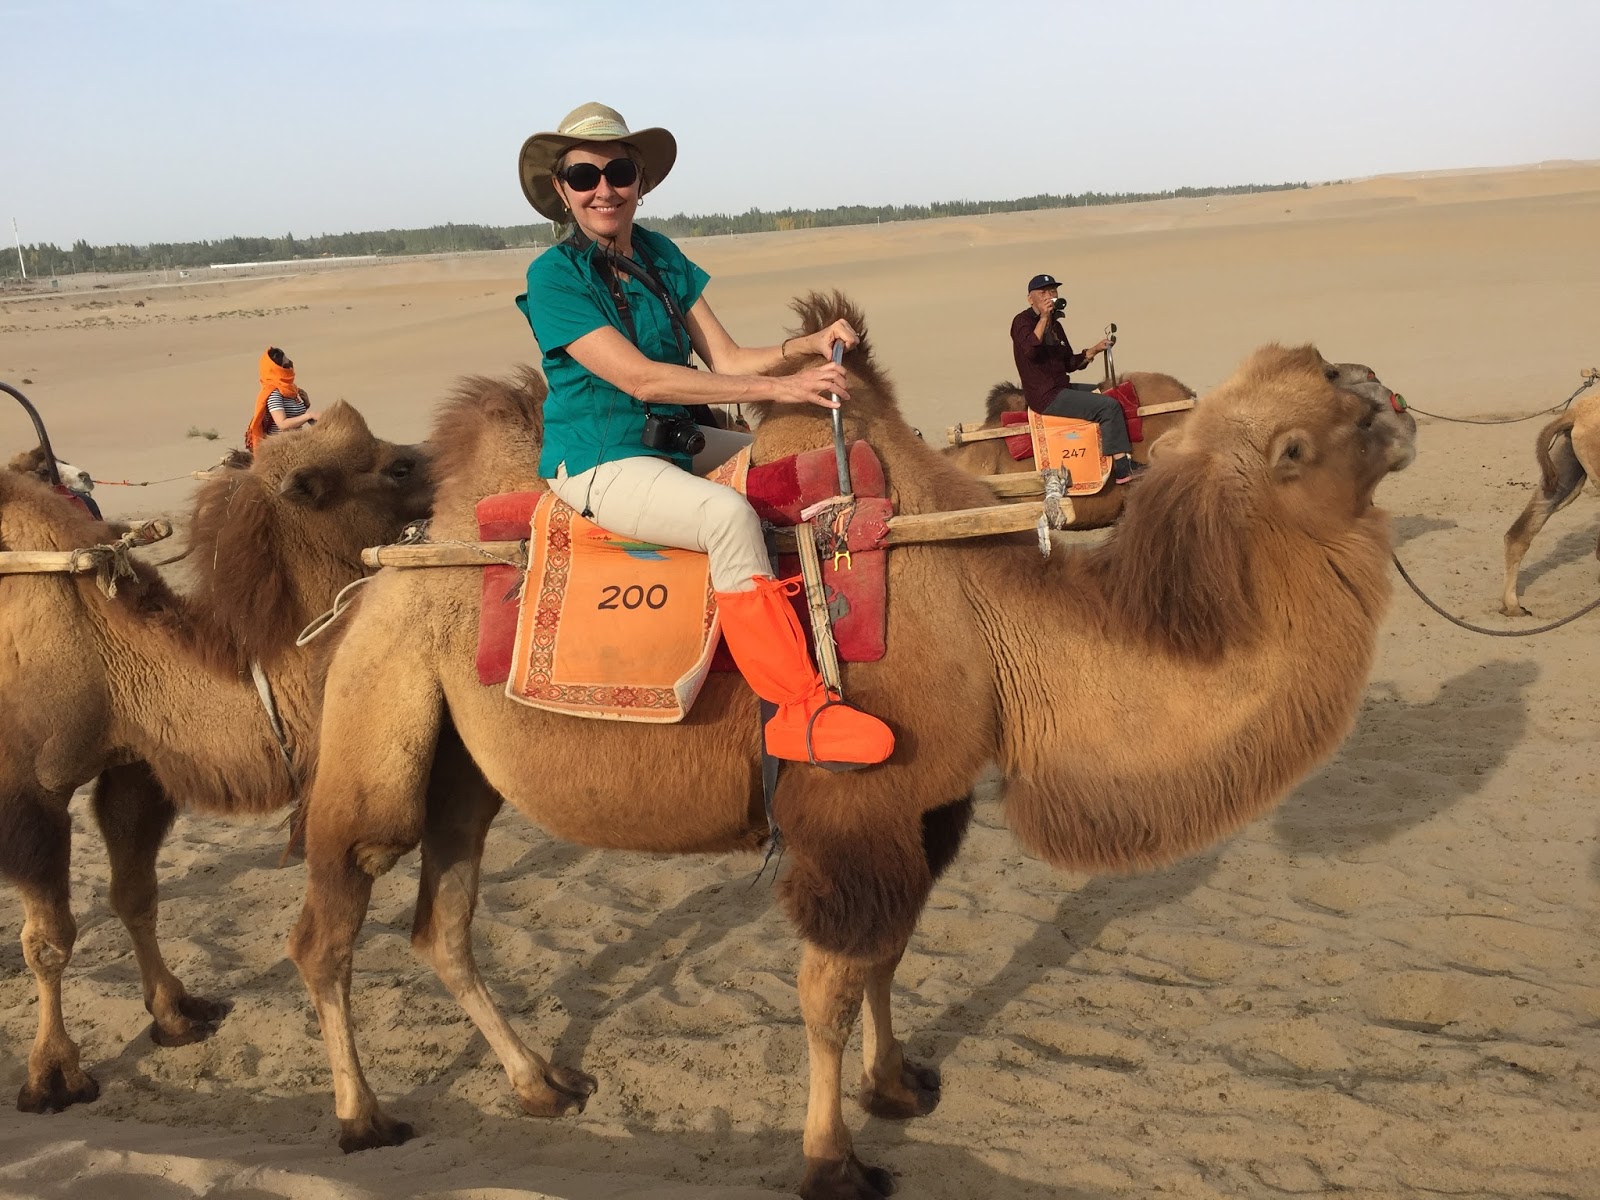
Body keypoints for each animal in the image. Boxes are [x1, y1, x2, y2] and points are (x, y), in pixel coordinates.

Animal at [0, 401, 430, 1113]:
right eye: (396, 466)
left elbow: (136, 895)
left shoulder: (137, 766)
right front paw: (52, 1075)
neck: (102, 642)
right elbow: (49, 941)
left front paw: (175, 1014)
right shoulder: (29, 791)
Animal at [287, 298, 1416, 1199]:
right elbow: (827, 989)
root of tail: (388, 562)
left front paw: (897, 1085)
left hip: (464, 769)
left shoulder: (925, 805)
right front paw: (832, 1160)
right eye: (1298, 442)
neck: (995, 625)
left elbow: (888, 952)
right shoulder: (849, 809)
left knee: (443, 921)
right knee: (334, 918)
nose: (1392, 399)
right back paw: (360, 1118)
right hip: (379, 710)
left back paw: (540, 1084)